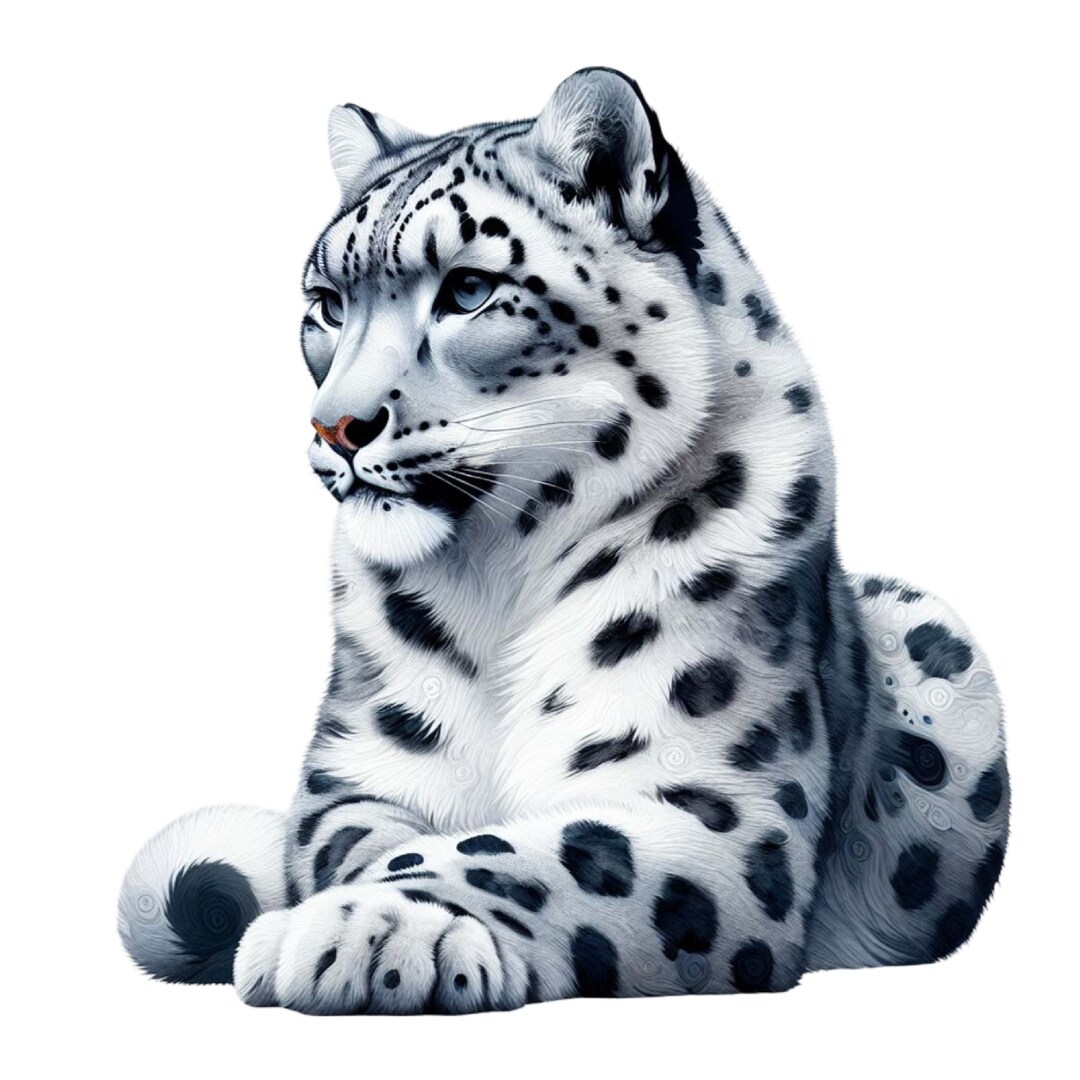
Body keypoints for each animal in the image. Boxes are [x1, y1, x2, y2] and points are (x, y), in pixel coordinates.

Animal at [118, 67, 1009, 1013]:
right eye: (326, 307)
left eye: (469, 290)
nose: (335, 427)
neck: (495, 578)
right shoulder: (359, 779)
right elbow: (363, 844)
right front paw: (354, 914)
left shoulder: (720, 807)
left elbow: (535, 853)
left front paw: (368, 928)